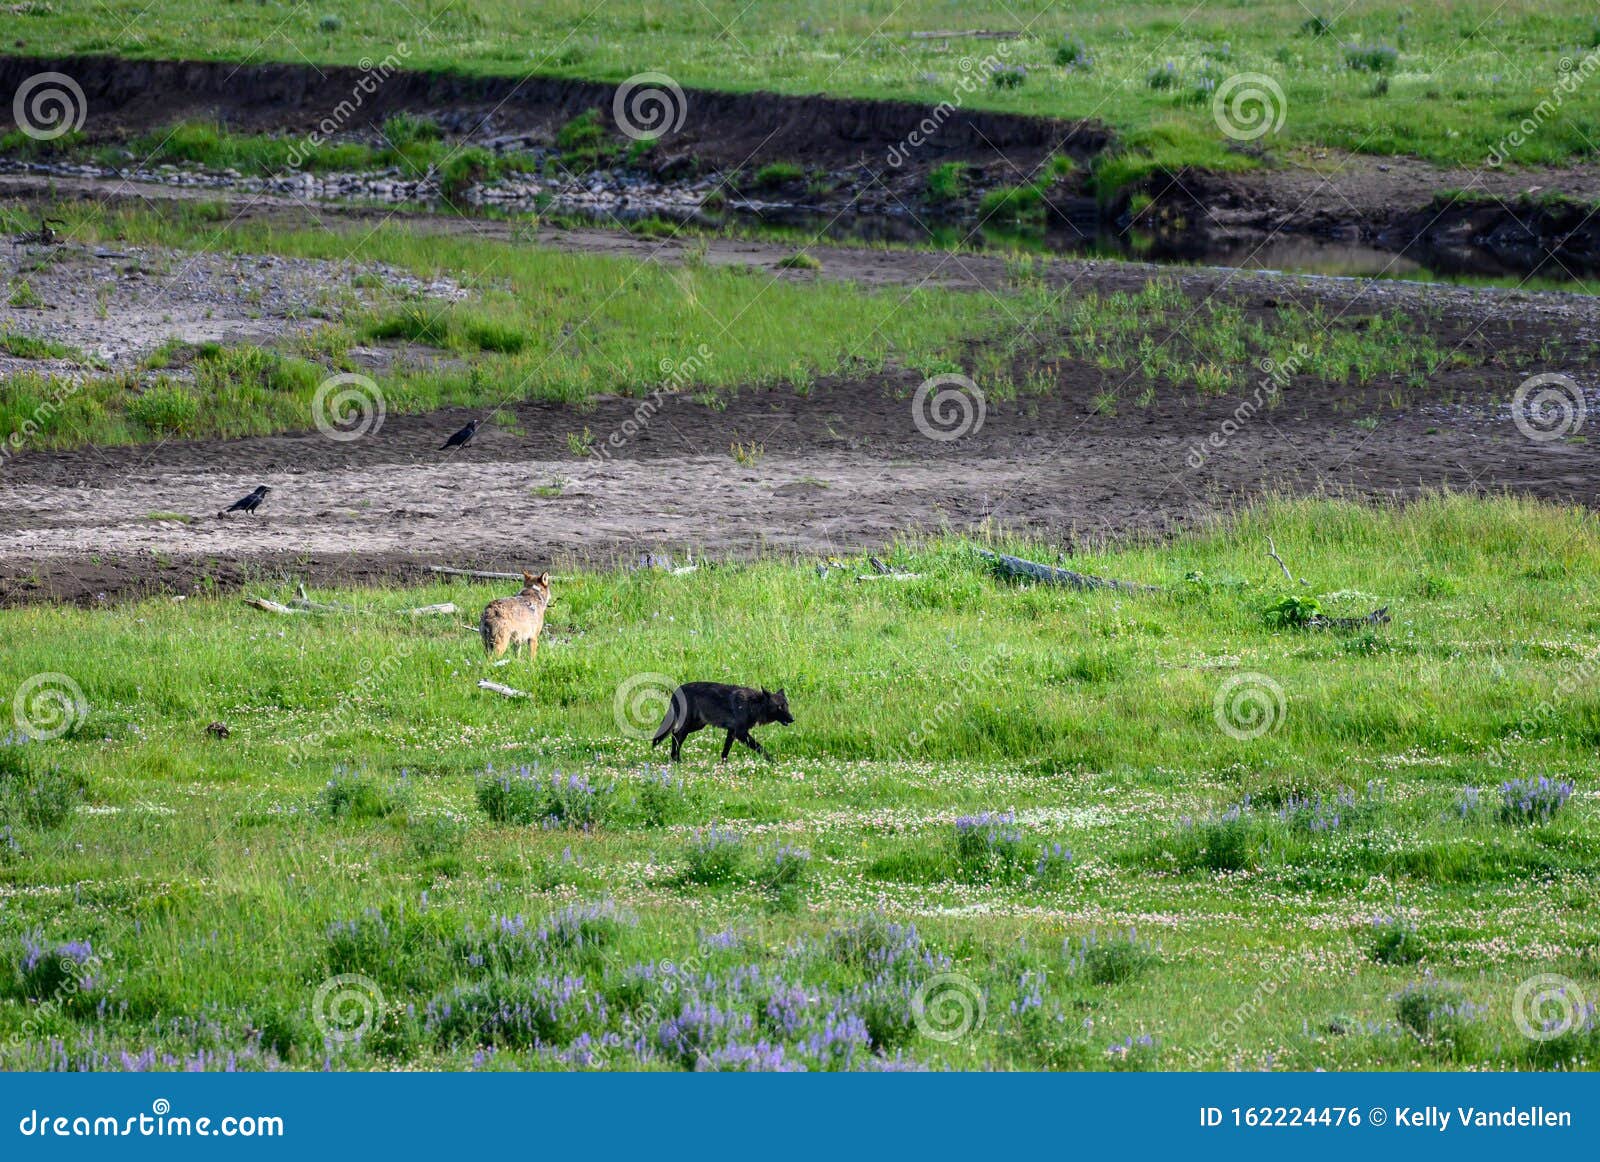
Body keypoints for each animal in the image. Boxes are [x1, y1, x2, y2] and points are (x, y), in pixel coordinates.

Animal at [650, 682, 794, 762]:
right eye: (779, 707)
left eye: (787, 705)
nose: (793, 719)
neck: (753, 704)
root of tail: (676, 690)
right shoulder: (741, 733)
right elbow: (761, 748)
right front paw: (773, 763)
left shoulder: (732, 732)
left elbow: (725, 752)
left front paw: (723, 766)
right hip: (689, 726)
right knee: (675, 735)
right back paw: (676, 759)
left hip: (697, 726)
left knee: (674, 735)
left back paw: (674, 758)